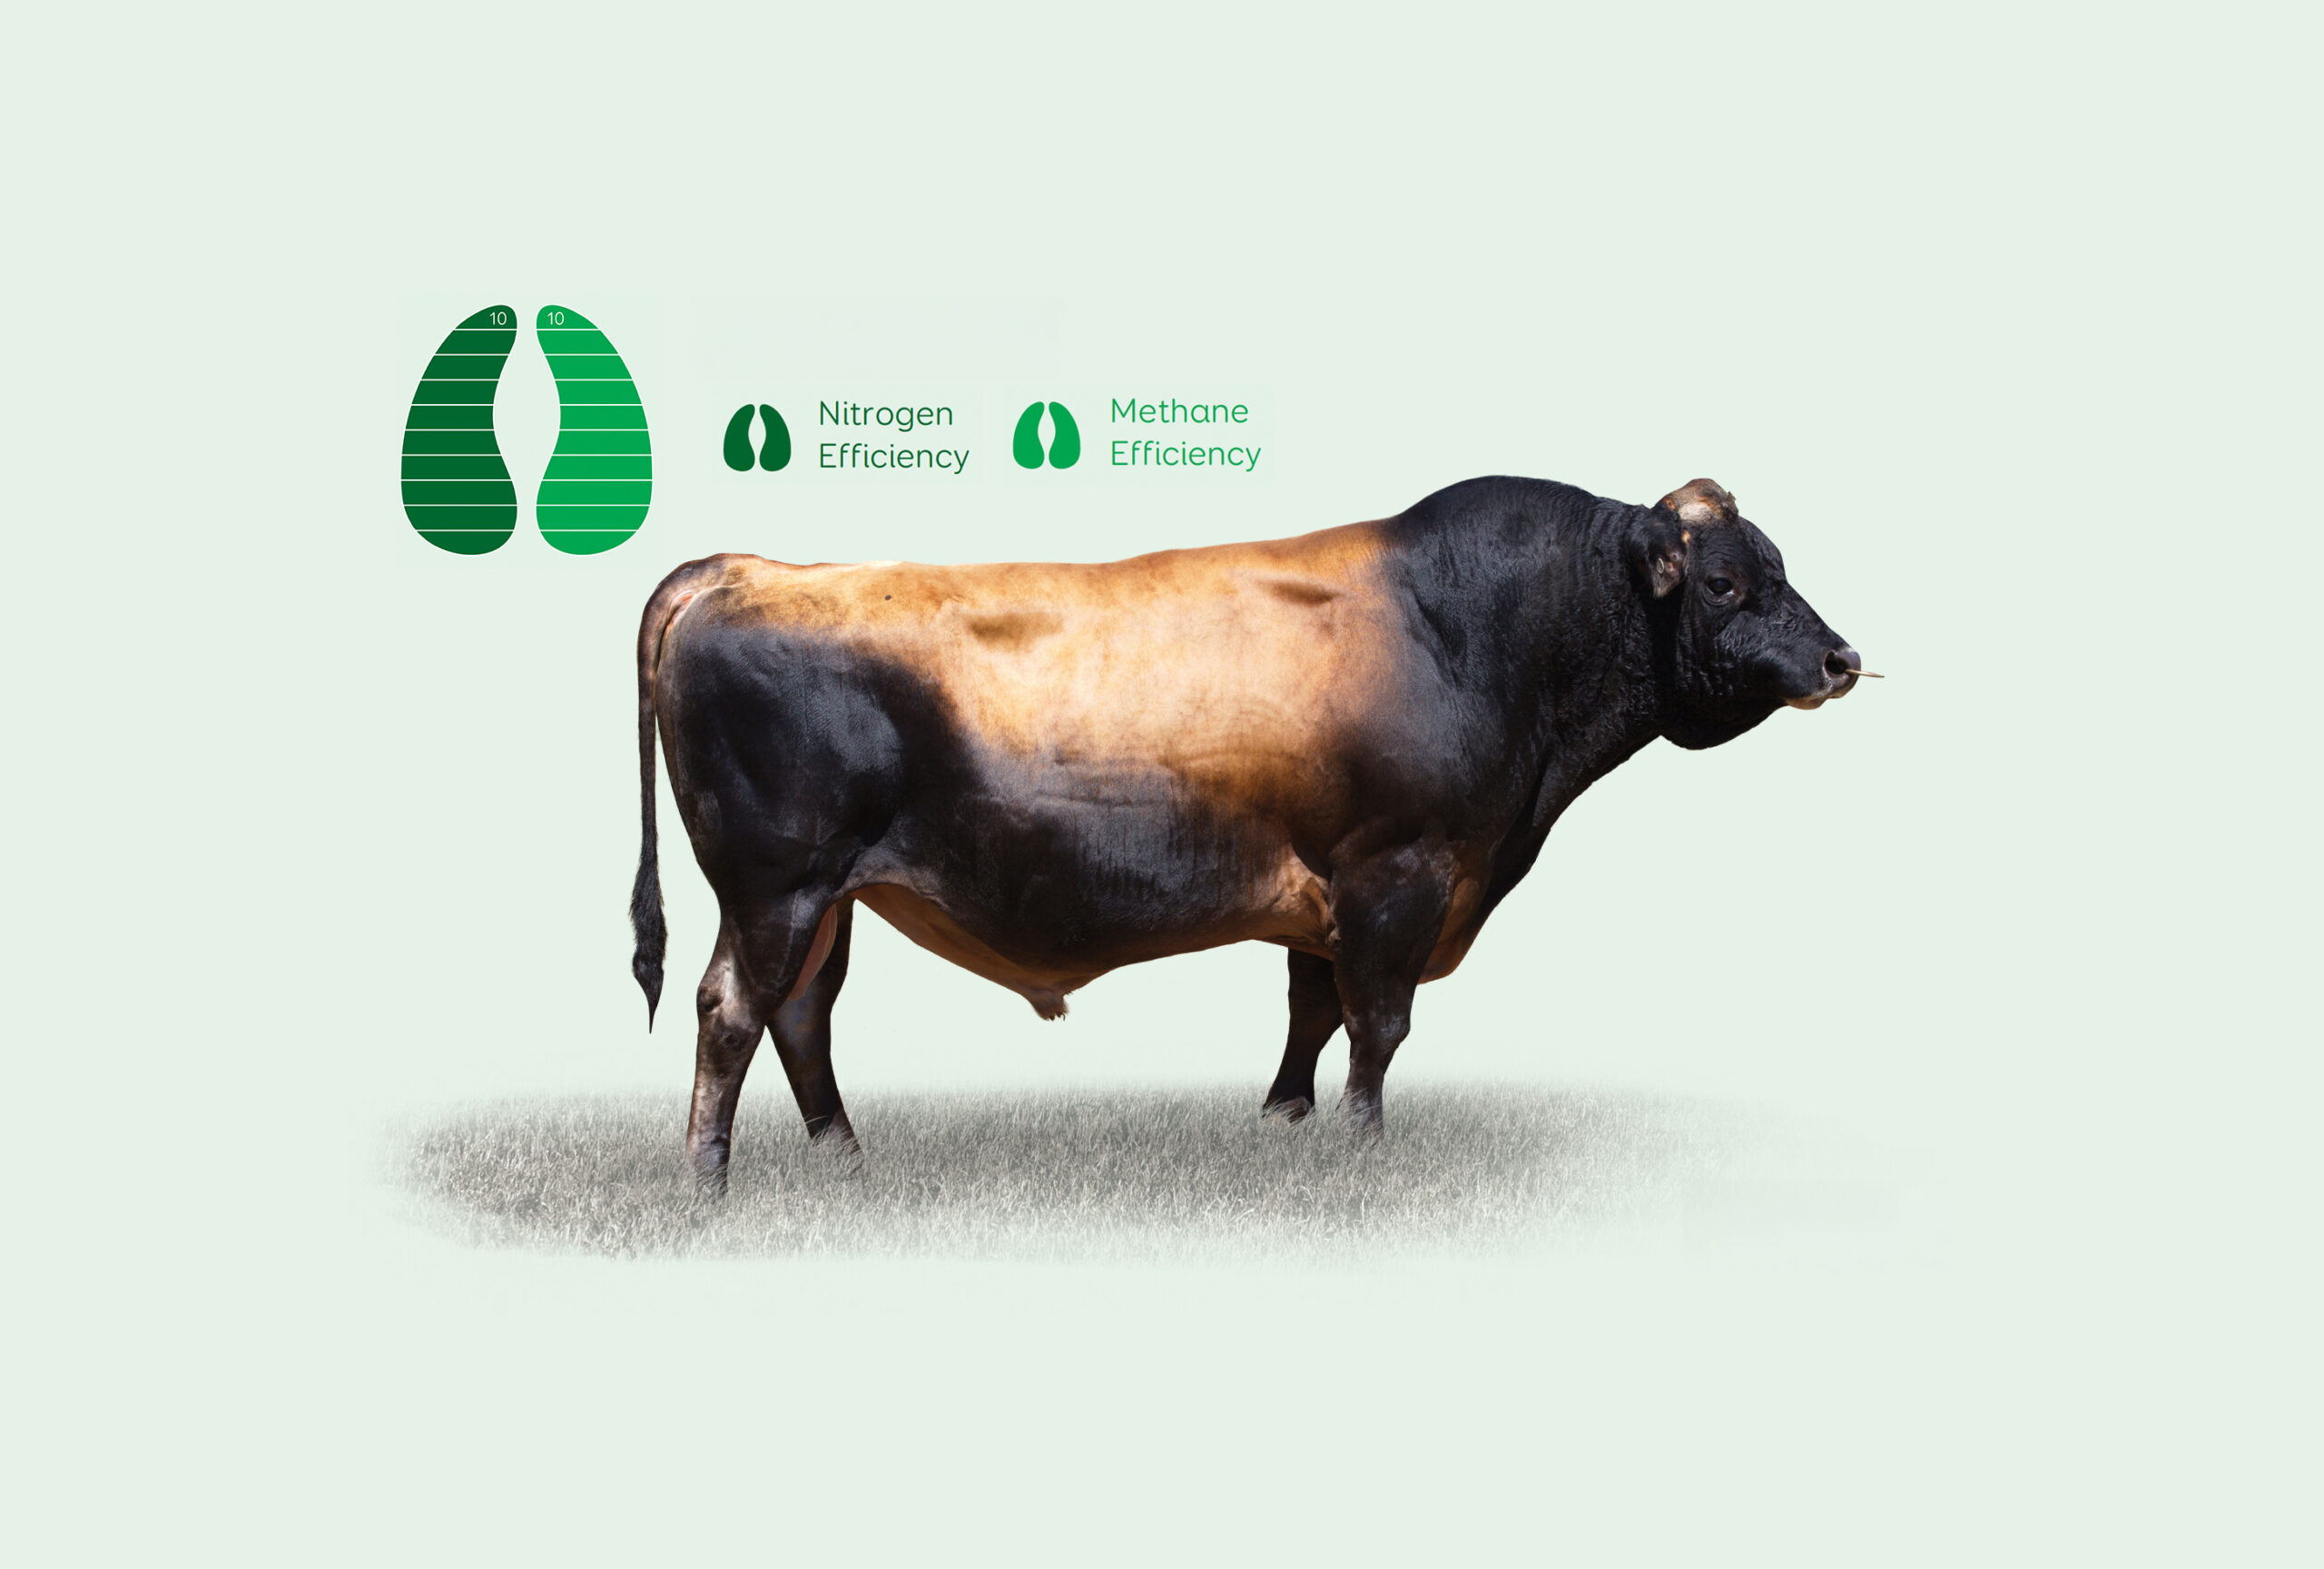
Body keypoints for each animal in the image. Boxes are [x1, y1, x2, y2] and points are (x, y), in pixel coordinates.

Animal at [628, 475, 1866, 1191]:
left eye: (1780, 566)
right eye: (1724, 582)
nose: (1841, 657)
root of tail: (743, 567)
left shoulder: (1327, 894)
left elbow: (1311, 1010)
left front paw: (1284, 1126)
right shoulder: (1399, 874)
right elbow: (1376, 1024)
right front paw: (1362, 1154)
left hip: (829, 896)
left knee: (801, 1017)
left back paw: (843, 1159)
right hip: (778, 885)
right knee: (732, 1012)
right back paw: (707, 1183)